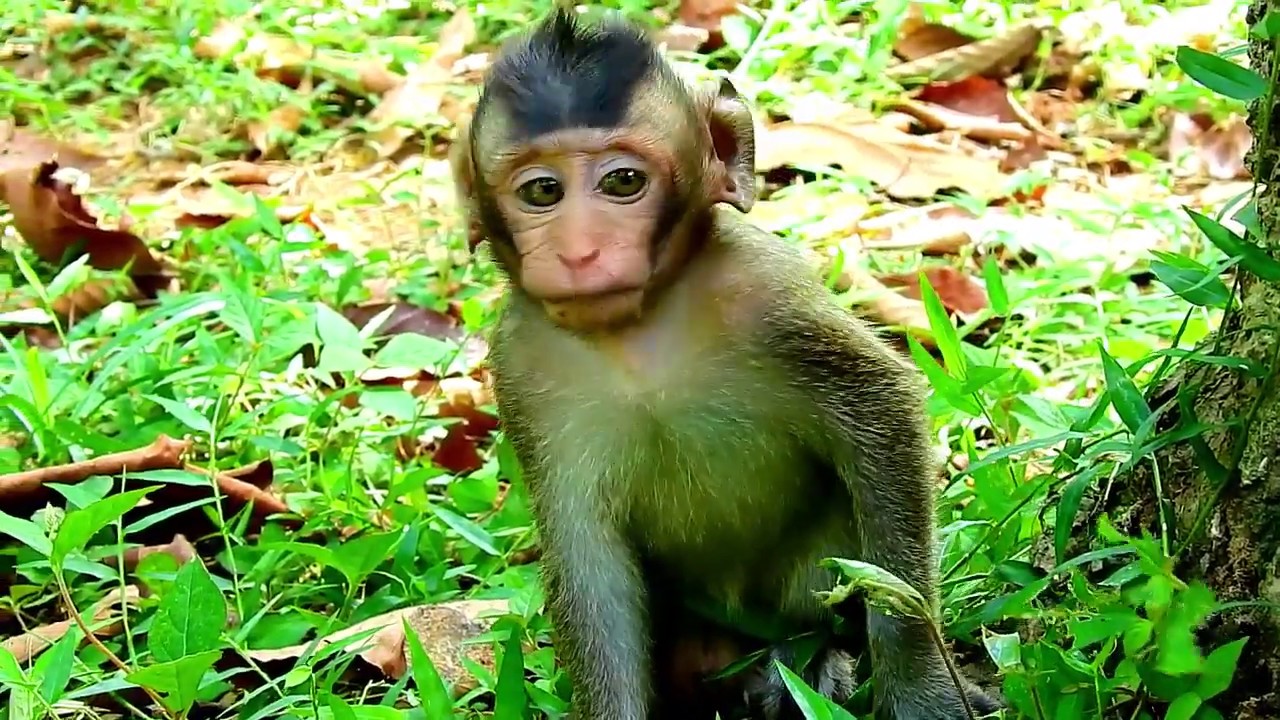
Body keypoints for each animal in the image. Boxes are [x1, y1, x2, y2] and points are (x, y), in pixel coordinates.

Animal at [449, 6, 1002, 720]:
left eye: (623, 181)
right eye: (542, 191)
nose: (579, 251)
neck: (638, 335)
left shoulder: (766, 292)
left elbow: (882, 418)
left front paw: (921, 688)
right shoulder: (521, 364)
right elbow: (585, 555)